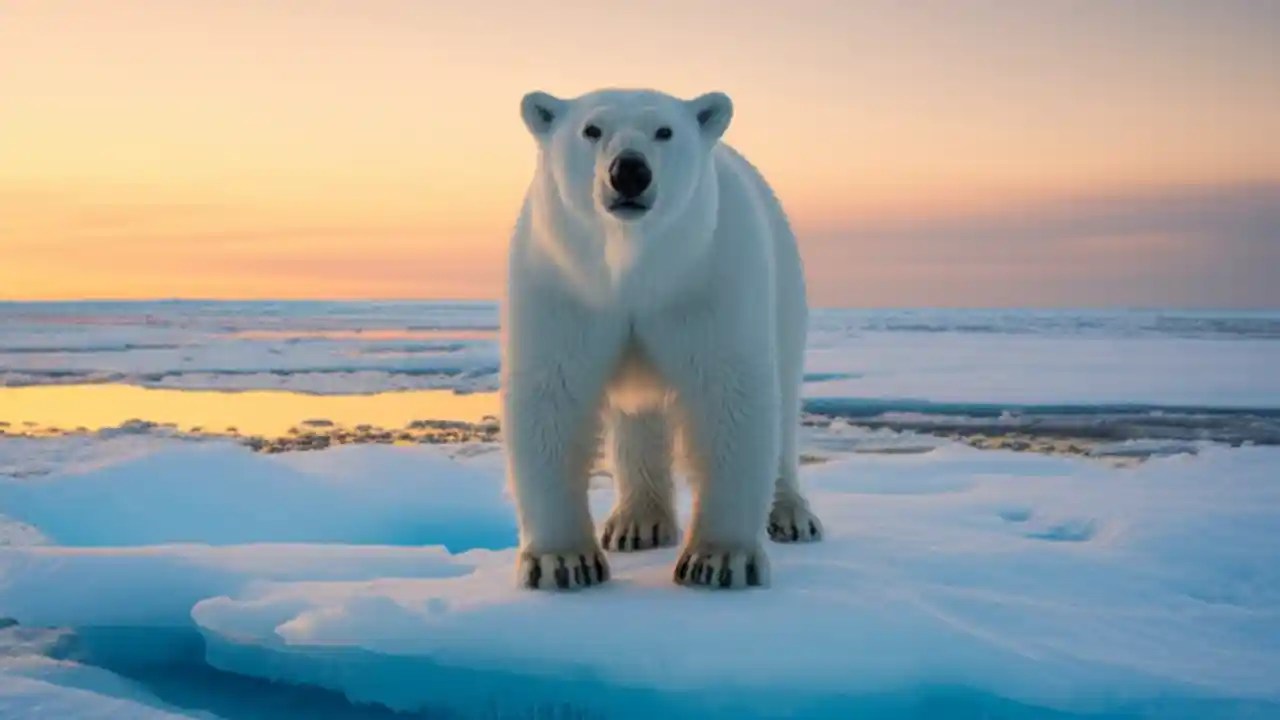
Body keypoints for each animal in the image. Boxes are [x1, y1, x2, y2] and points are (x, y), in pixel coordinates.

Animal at [502, 88, 822, 591]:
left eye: (664, 131)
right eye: (591, 129)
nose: (629, 170)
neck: (635, 268)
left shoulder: (709, 279)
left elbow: (730, 395)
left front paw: (720, 561)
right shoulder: (562, 283)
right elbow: (552, 395)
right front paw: (563, 563)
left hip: (784, 284)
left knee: (785, 399)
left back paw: (791, 515)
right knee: (638, 417)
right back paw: (635, 524)